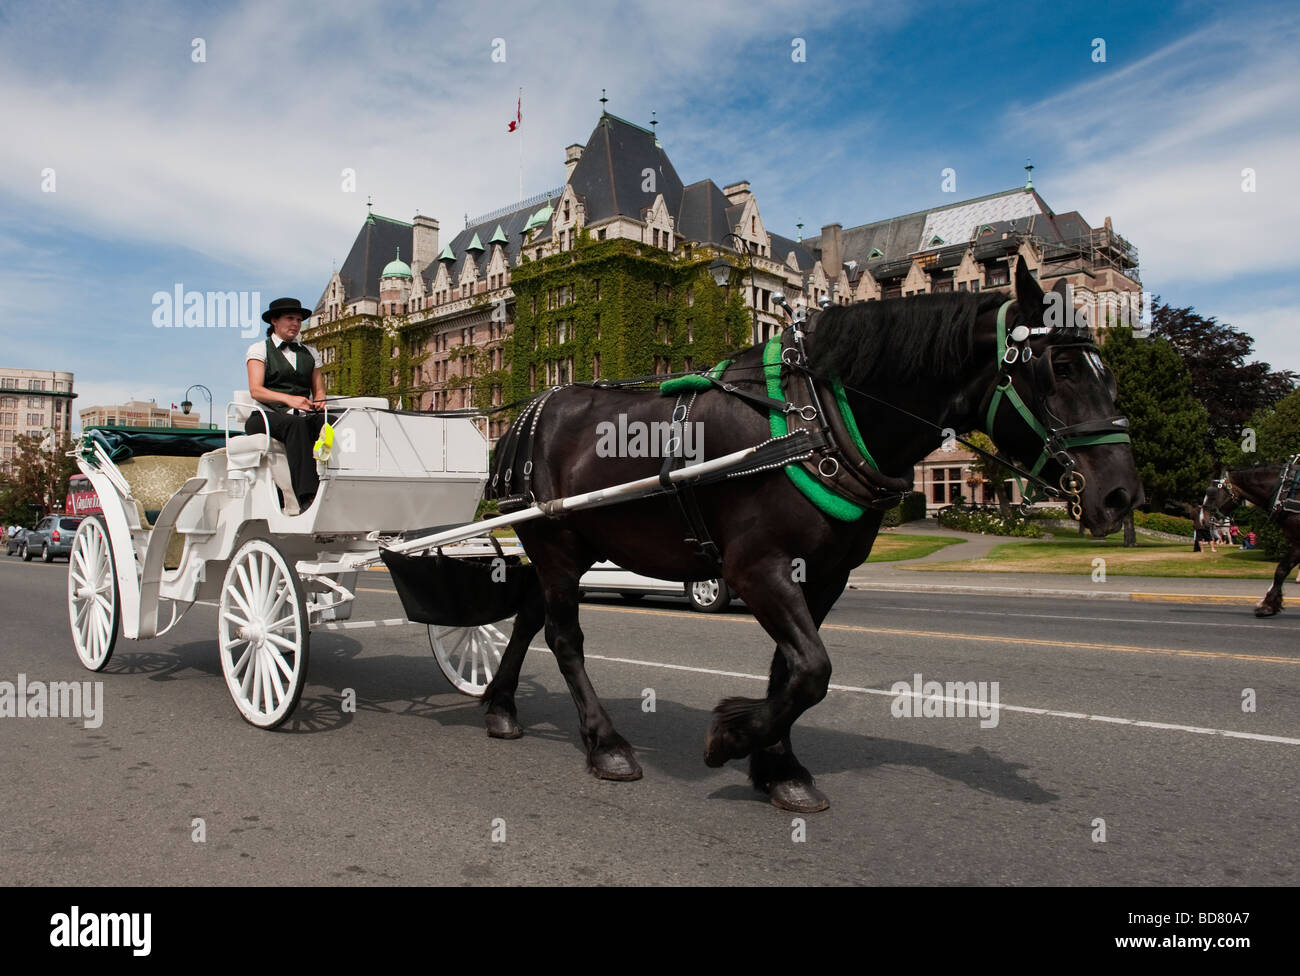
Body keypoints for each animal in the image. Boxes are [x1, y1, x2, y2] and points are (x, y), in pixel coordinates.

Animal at [477, 259, 1142, 812]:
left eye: (1108, 373)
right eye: (1058, 367)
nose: (1122, 495)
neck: (816, 417)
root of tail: (529, 412)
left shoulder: (822, 575)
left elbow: (792, 671)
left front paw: (778, 768)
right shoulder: (756, 568)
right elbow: (813, 669)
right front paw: (732, 736)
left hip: (572, 549)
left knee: (530, 617)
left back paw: (501, 706)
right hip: (557, 546)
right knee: (564, 638)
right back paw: (605, 742)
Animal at [1203, 463, 1300, 616]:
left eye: (1212, 493)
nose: (1203, 518)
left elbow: (1281, 571)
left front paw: (1267, 605)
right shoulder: (1296, 542)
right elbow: (1281, 570)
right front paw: (1269, 605)